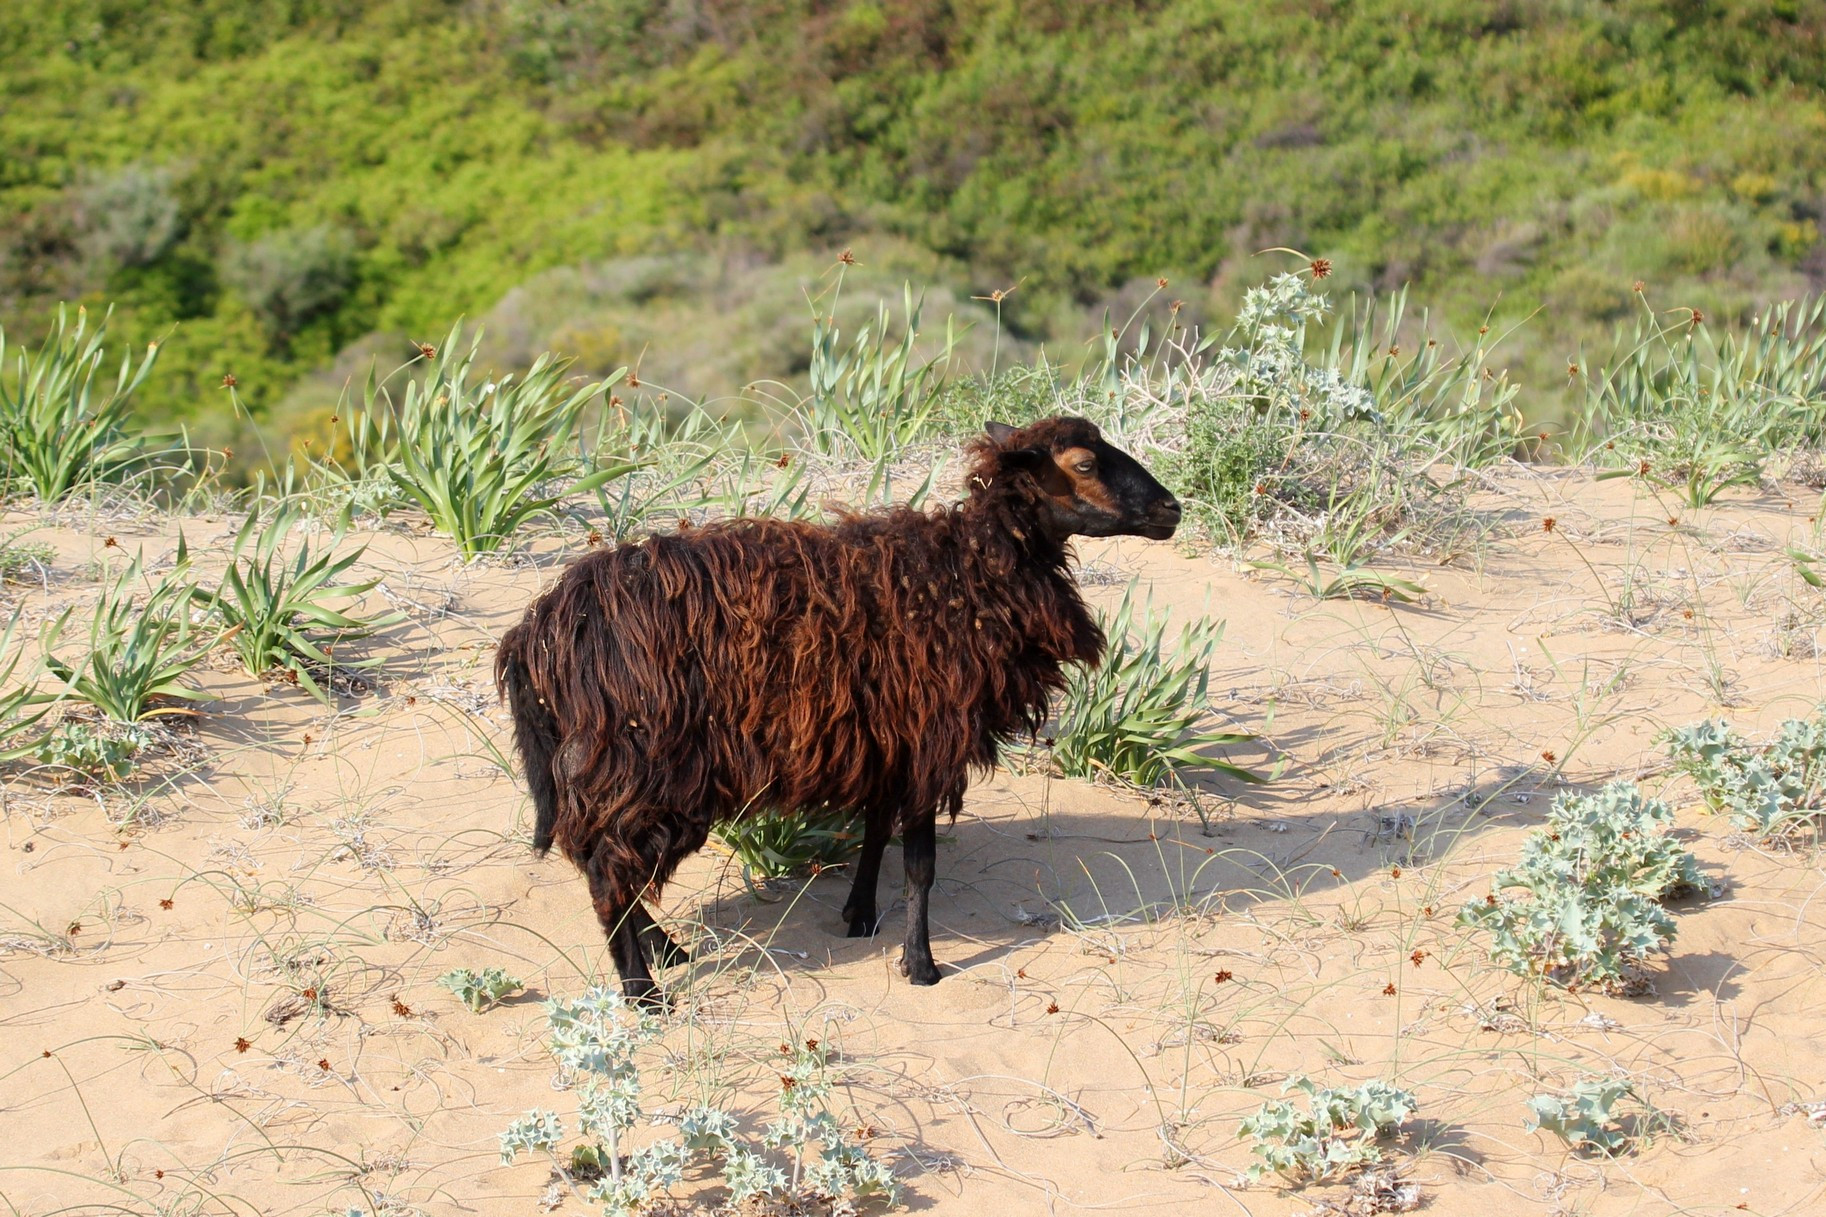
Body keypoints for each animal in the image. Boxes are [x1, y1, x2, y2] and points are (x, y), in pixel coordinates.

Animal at [495, 416, 1182, 1003]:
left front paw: (860, 914)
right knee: (609, 869)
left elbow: (877, 832)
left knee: (600, 857)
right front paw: (921, 965)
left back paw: (665, 952)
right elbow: (921, 865)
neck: (968, 576)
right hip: (647, 760)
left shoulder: (886, 739)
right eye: (1084, 463)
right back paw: (644, 993)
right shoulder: (927, 736)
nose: (1172, 510)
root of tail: (539, 629)